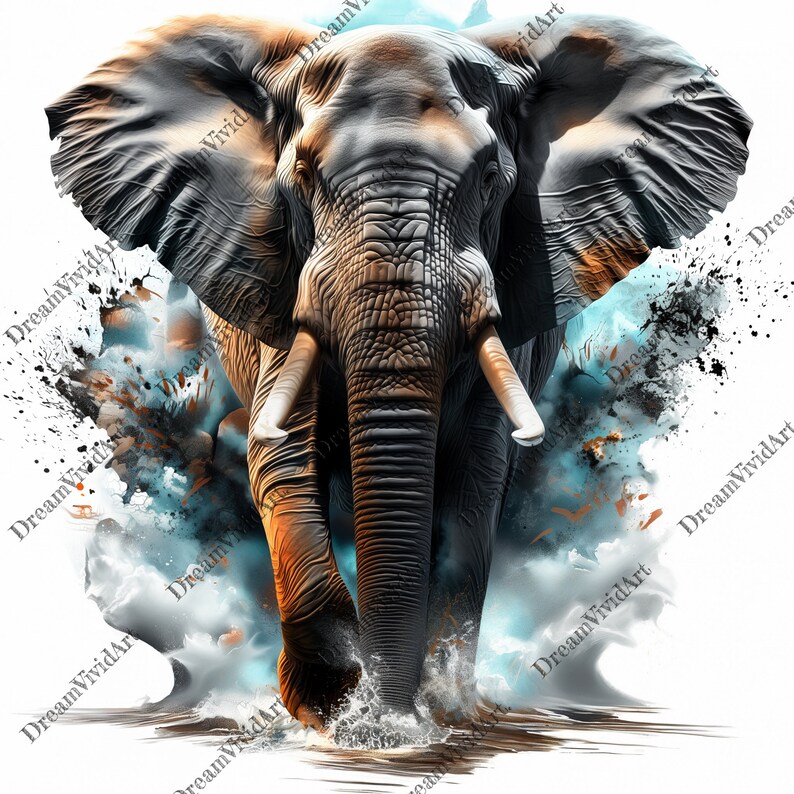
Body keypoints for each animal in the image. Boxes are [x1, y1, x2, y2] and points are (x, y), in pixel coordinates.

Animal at [45, 11, 751, 732]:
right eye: (302, 175)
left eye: (491, 178)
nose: (384, 720)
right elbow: (285, 459)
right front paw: (334, 701)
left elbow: (474, 480)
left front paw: (434, 714)